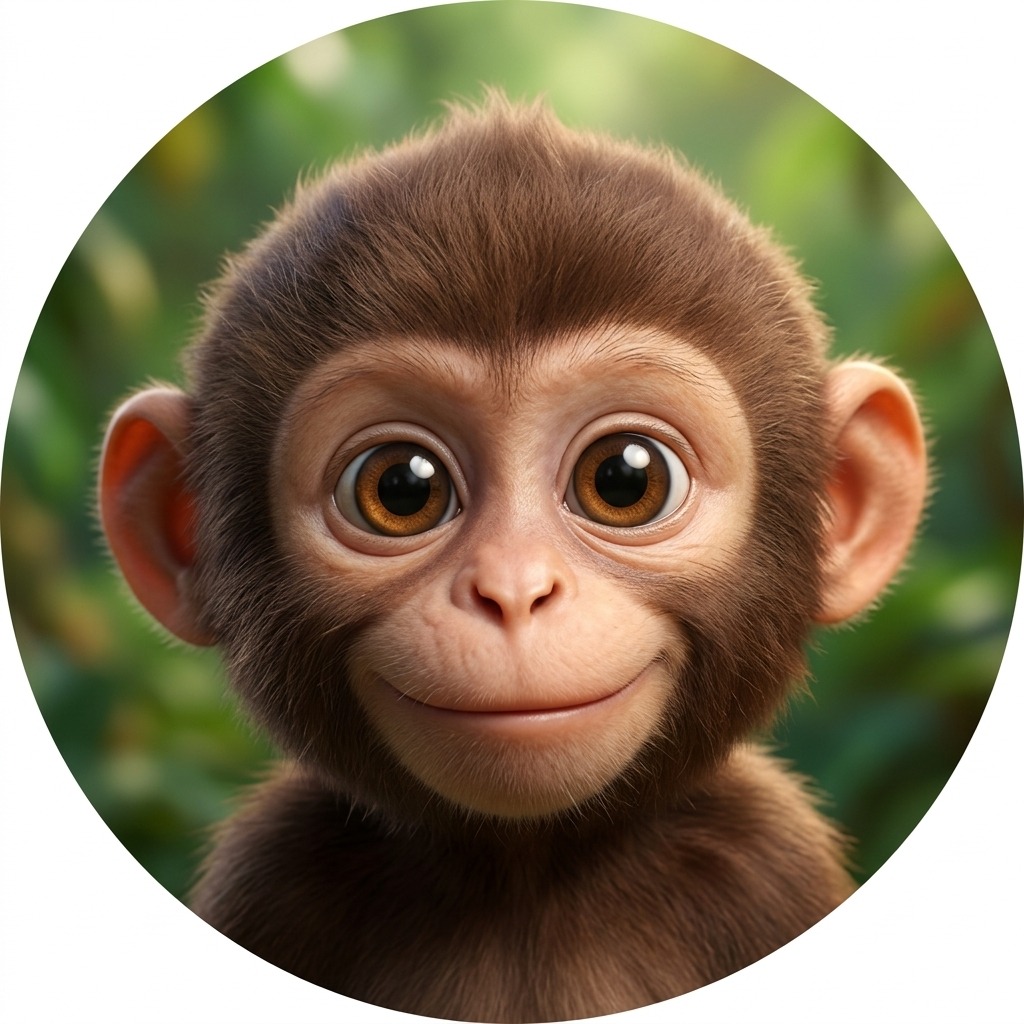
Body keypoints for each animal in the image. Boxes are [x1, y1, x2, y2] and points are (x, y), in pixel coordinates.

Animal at [98, 95, 927, 1022]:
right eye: (403, 487)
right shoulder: (272, 878)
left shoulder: (765, 868)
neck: (525, 878)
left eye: (625, 478)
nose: (514, 591)